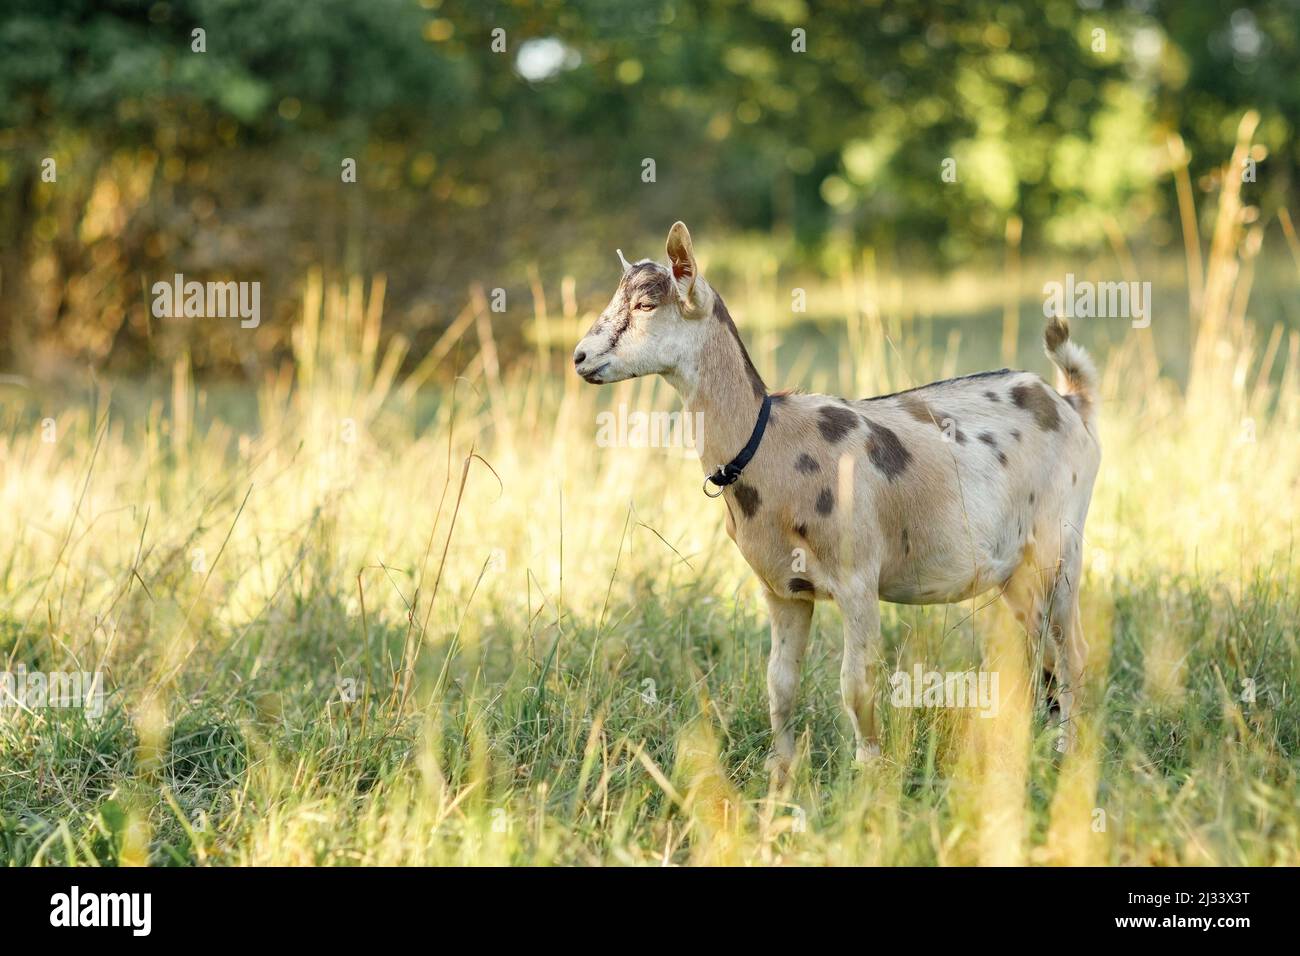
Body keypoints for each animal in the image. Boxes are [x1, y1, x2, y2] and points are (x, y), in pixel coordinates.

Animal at [574, 222, 1100, 780]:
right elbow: (780, 683)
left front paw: (869, 774)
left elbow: (856, 684)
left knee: (1072, 649)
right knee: (1043, 648)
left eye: (647, 305)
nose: (579, 357)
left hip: (1061, 543)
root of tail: (1070, 402)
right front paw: (780, 774)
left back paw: (1067, 754)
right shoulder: (782, 590)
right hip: (1015, 569)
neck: (769, 442)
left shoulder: (857, 579)